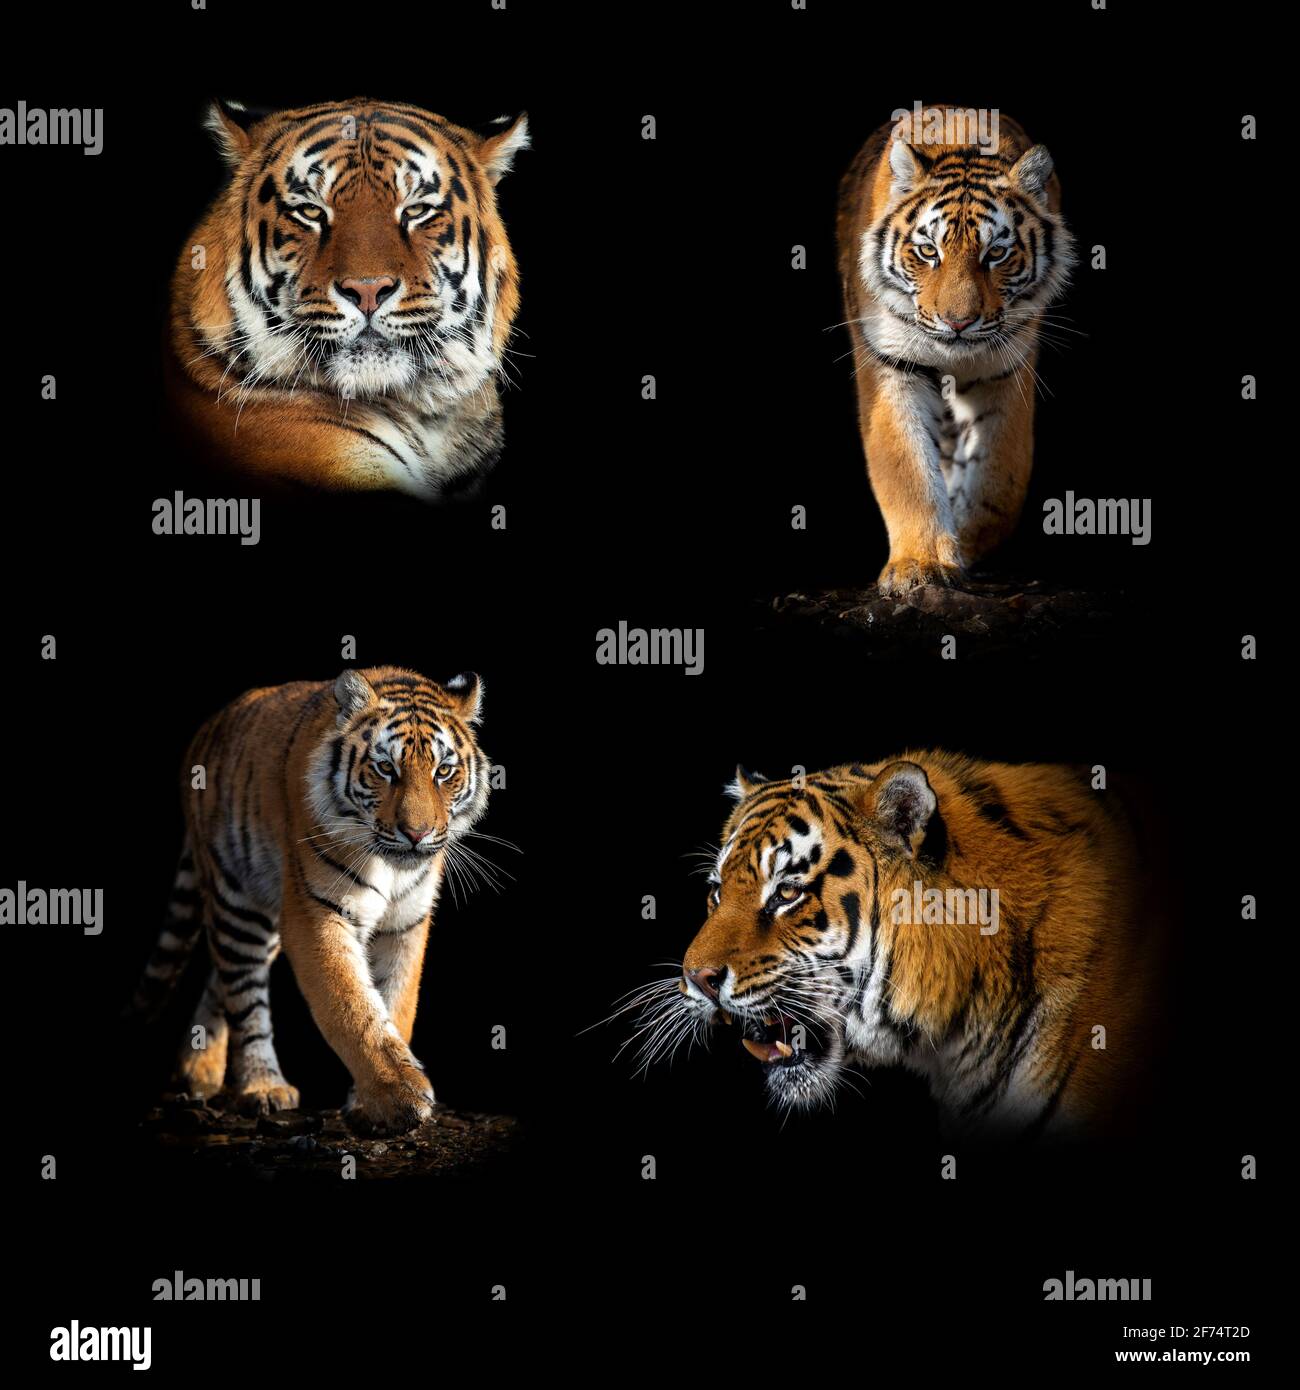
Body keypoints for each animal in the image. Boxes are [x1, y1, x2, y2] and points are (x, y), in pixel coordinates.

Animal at [128, 666, 491, 1135]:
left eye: (444, 771)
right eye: (385, 768)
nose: (417, 833)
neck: (391, 866)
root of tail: (210, 726)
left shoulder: (406, 923)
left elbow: (396, 1003)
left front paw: (369, 1104)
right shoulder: (316, 912)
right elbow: (351, 1007)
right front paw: (399, 1098)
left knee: (220, 979)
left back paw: (199, 1071)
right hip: (237, 901)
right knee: (244, 995)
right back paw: (262, 1086)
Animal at [836, 104, 1075, 593]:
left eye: (996, 253)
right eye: (929, 252)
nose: (958, 322)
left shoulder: (1007, 367)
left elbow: (1001, 478)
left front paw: (966, 543)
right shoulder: (892, 365)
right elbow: (906, 470)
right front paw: (921, 565)